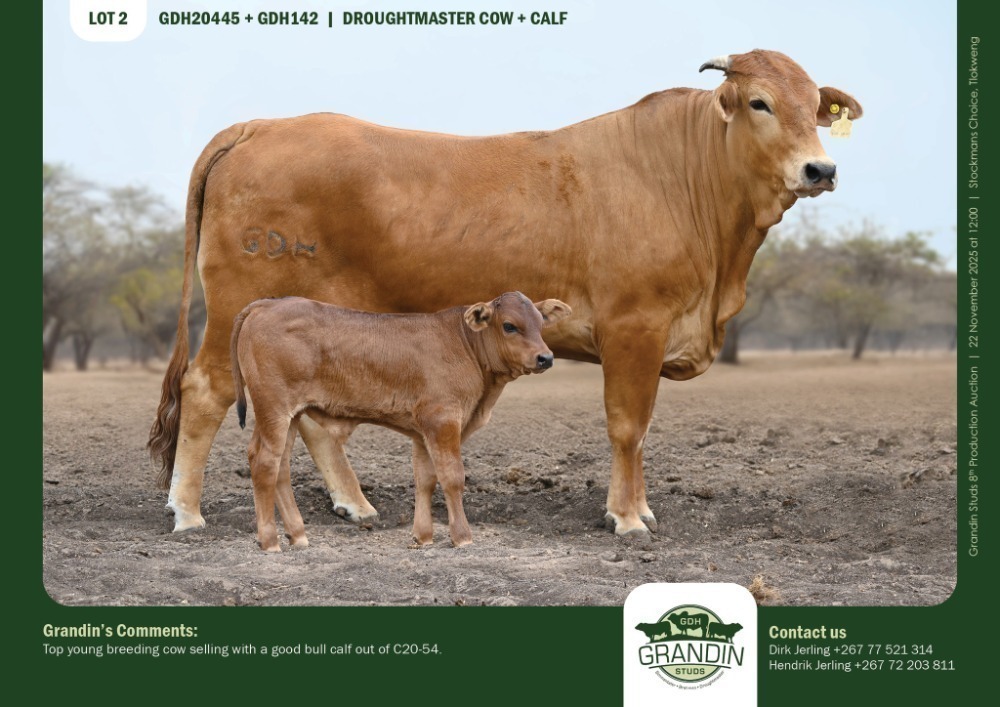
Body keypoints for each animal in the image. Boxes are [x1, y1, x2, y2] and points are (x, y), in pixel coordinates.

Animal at [230, 292, 571, 551]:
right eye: (509, 325)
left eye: (540, 323)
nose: (546, 358)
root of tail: (266, 304)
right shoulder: (443, 420)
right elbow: (452, 477)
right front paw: (462, 537)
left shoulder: (423, 430)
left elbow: (425, 479)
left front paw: (423, 537)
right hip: (274, 408)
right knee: (265, 462)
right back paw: (270, 541)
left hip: (289, 415)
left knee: (280, 468)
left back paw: (298, 535)